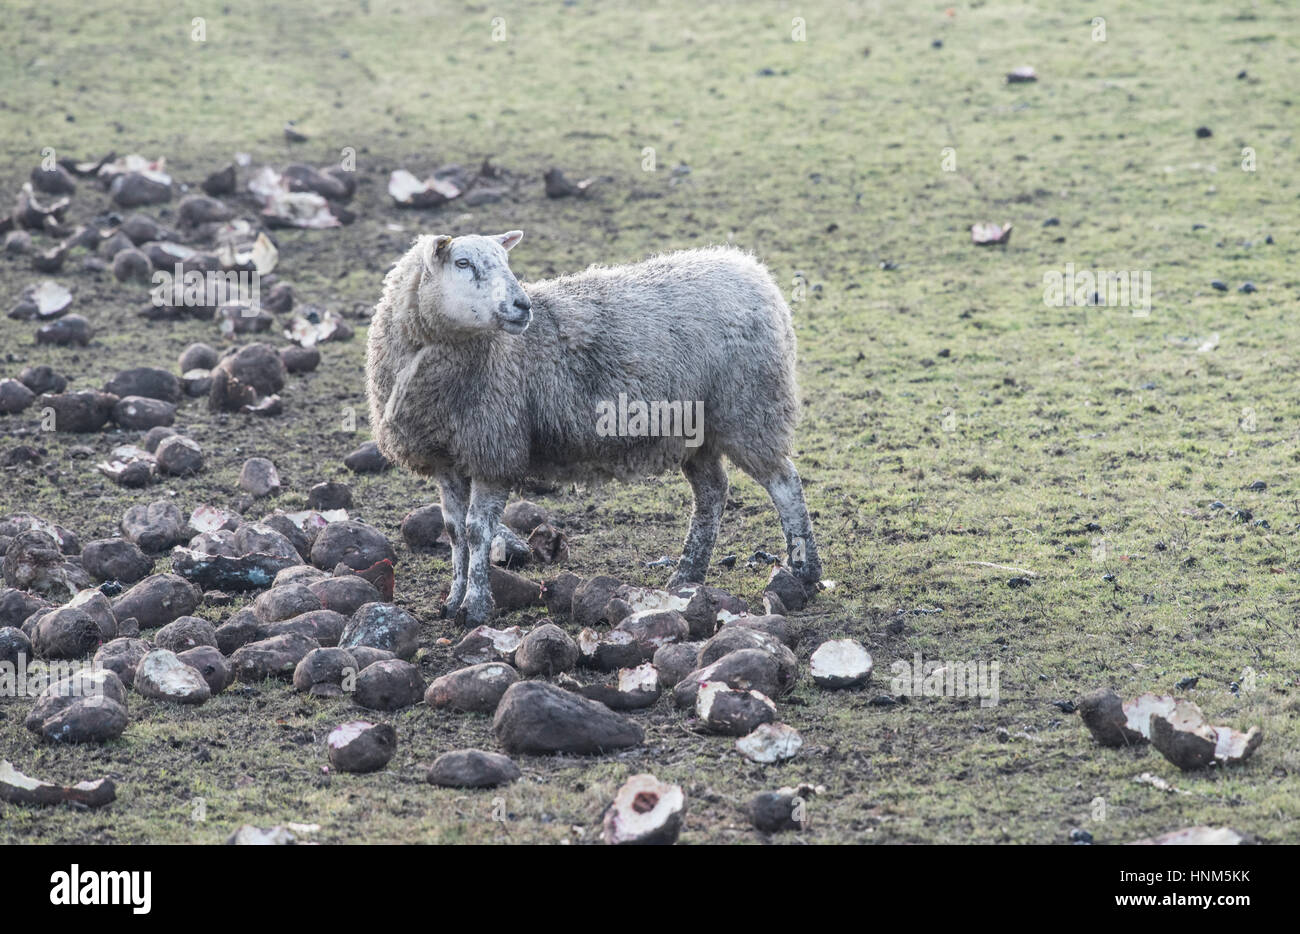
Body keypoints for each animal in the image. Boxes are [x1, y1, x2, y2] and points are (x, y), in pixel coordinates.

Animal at [366, 231, 822, 626]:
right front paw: (452, 599)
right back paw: (687, 575)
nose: (522, 305)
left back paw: (805, 570)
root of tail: (750, 268)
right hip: (697, 429)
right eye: (462, 263)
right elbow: (455, 532)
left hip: (750, 409)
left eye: (506, 262)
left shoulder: (494, 449)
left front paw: (474, 607)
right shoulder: (447, 460)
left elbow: (478, 532)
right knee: (711, 493)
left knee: (785, 483)